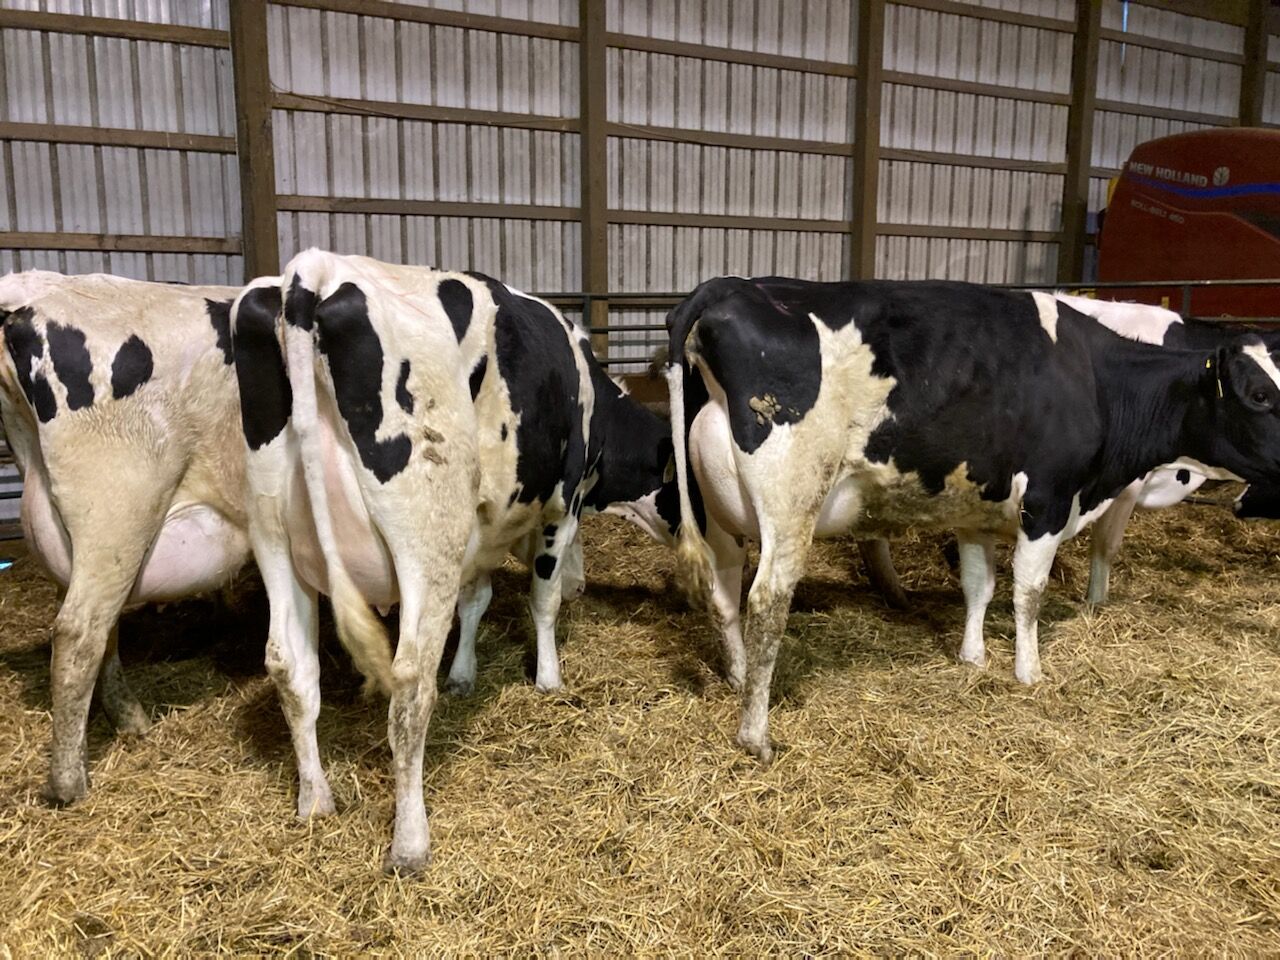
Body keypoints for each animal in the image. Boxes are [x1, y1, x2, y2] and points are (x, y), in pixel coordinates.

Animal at [0, 270, 254, 804]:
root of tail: (38, 290)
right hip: (119, 510)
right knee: (78, 633)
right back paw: (68, 782)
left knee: (101, 627)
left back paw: (130, 721)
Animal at [230, 250, 675, 872]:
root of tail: (313, 271)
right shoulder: (559, 503)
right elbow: (542, 600)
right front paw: (548, 677)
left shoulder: (483, 527)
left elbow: (477, 599)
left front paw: (465, 672)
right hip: (425, 539)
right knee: (411, 684)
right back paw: (410, 841)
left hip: (274, 535)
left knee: (289, 666)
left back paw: (314, 800)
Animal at [664, 277, 1280, 762]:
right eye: (1257, 395)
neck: (1096, 380)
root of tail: (726, 288)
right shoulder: (1048, 501)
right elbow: (1027, 592)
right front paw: (1029, 672)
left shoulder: (976, 509)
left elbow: (978, 586)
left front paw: (973, 658)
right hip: (792, 498)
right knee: (768, 600)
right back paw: (756, 734)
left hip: (716, 507)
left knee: (723, 592)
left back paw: (738, 678)